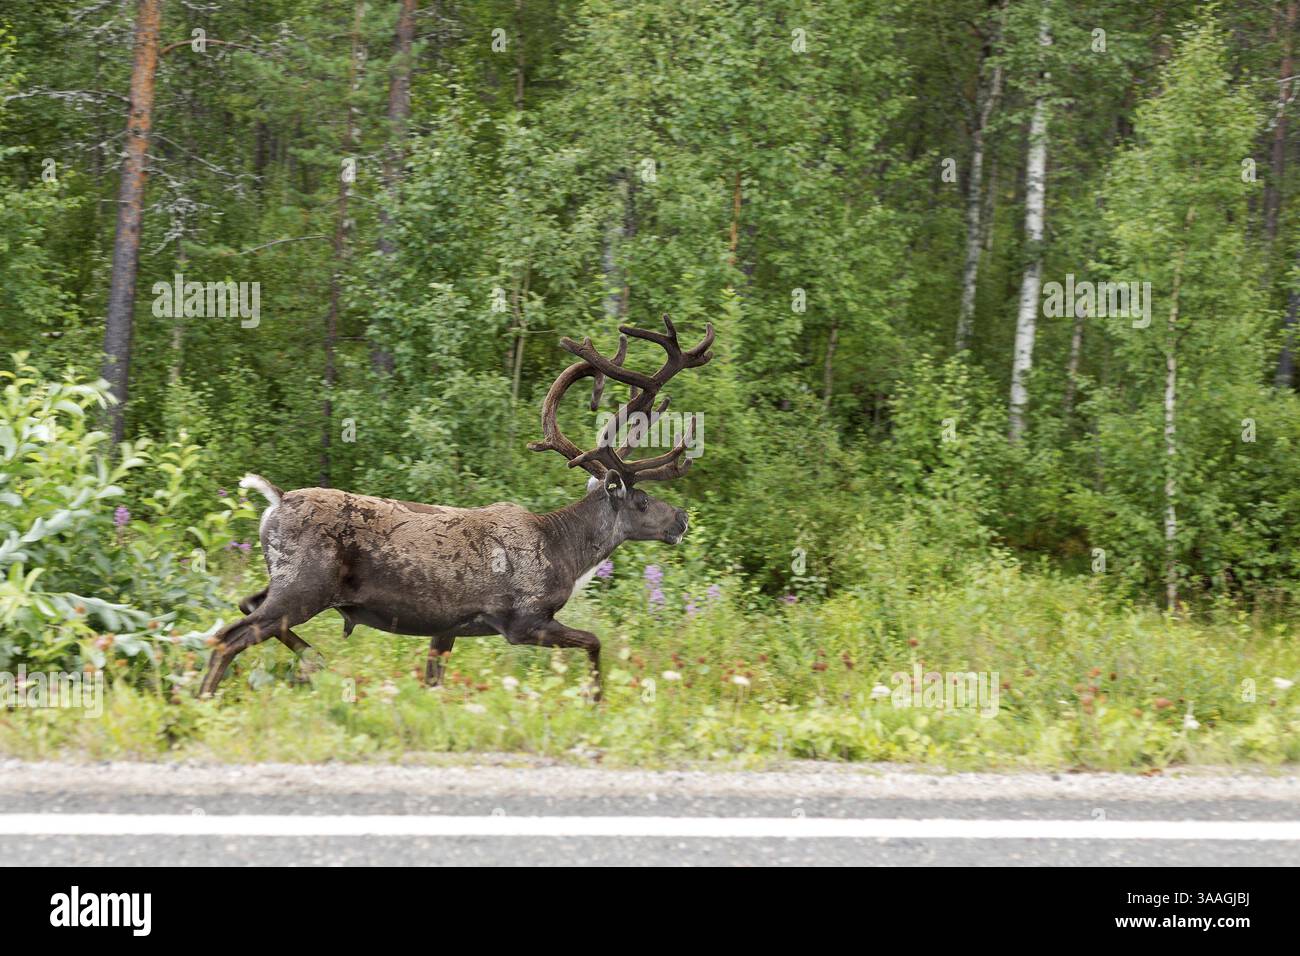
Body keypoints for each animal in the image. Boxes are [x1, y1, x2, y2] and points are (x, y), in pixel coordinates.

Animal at [198, 315, 714, 699]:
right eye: (641, 499)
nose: (682, 519)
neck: (564, 551)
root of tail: (275, 499)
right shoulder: (522, 621)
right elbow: (594, 642)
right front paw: (595, 699)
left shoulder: (445, 627)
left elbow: (434, 683)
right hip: (304, 587)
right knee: (227, 637)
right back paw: (207, 698)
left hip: (287, 584)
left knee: (244, 607)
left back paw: (311, 662)